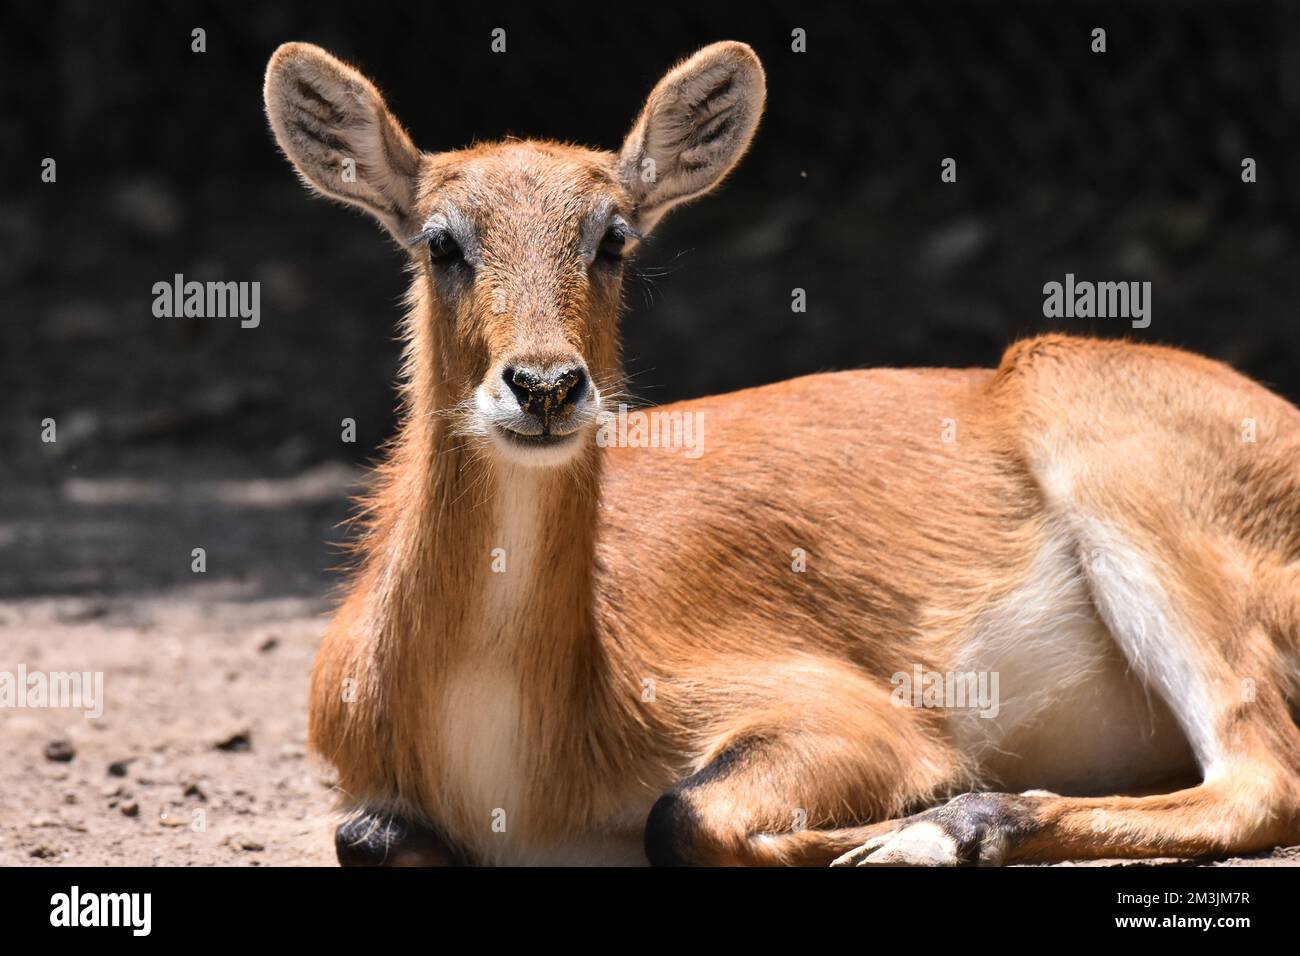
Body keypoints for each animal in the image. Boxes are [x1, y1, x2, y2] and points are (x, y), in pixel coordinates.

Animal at [264, 40, 1300, 866]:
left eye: (613, 237)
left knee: (1262, 782)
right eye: (441, 241)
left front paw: (922, 809)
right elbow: (363, 835)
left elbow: (682, 818)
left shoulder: (839, 712)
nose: (546, 386)